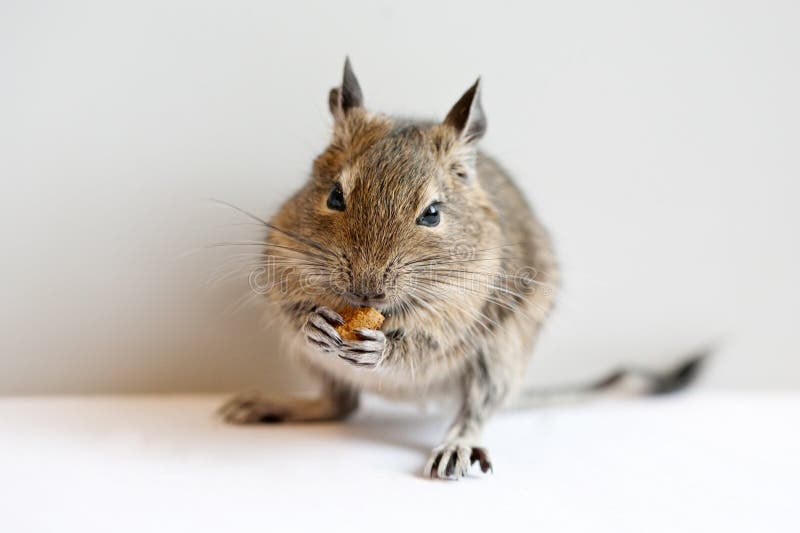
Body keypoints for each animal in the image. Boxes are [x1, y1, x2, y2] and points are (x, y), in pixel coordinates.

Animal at [218, 59, 701, 479]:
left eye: (432, 214)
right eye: (335, 196)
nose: (366, 292)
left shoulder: (458, 312)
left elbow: (420, 346)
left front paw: (380, 348)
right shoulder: (282, 267)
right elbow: (295, 311)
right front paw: (316, 324)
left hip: (499, 360)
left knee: (470, 413)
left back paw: (456, 449)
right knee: (341, 405)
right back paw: (264, 405)